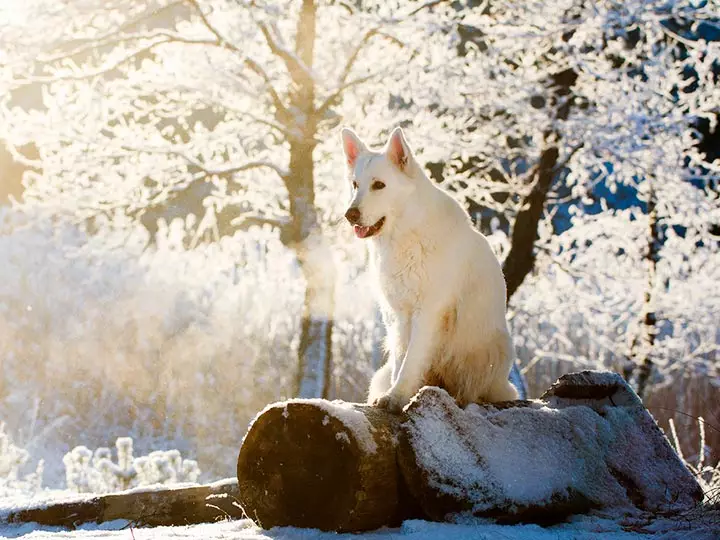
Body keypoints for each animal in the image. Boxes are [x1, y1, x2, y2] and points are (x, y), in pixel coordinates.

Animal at [342, 127, 516, 414]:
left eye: (379, 185)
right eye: (355, 185)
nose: (350, 215)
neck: (407, 236)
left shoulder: (428, 311)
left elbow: (411, 361)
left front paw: (396, 398)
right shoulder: (399, 316)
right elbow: (401, 361)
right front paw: (395, 395)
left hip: (492, 350)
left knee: (474, 390)